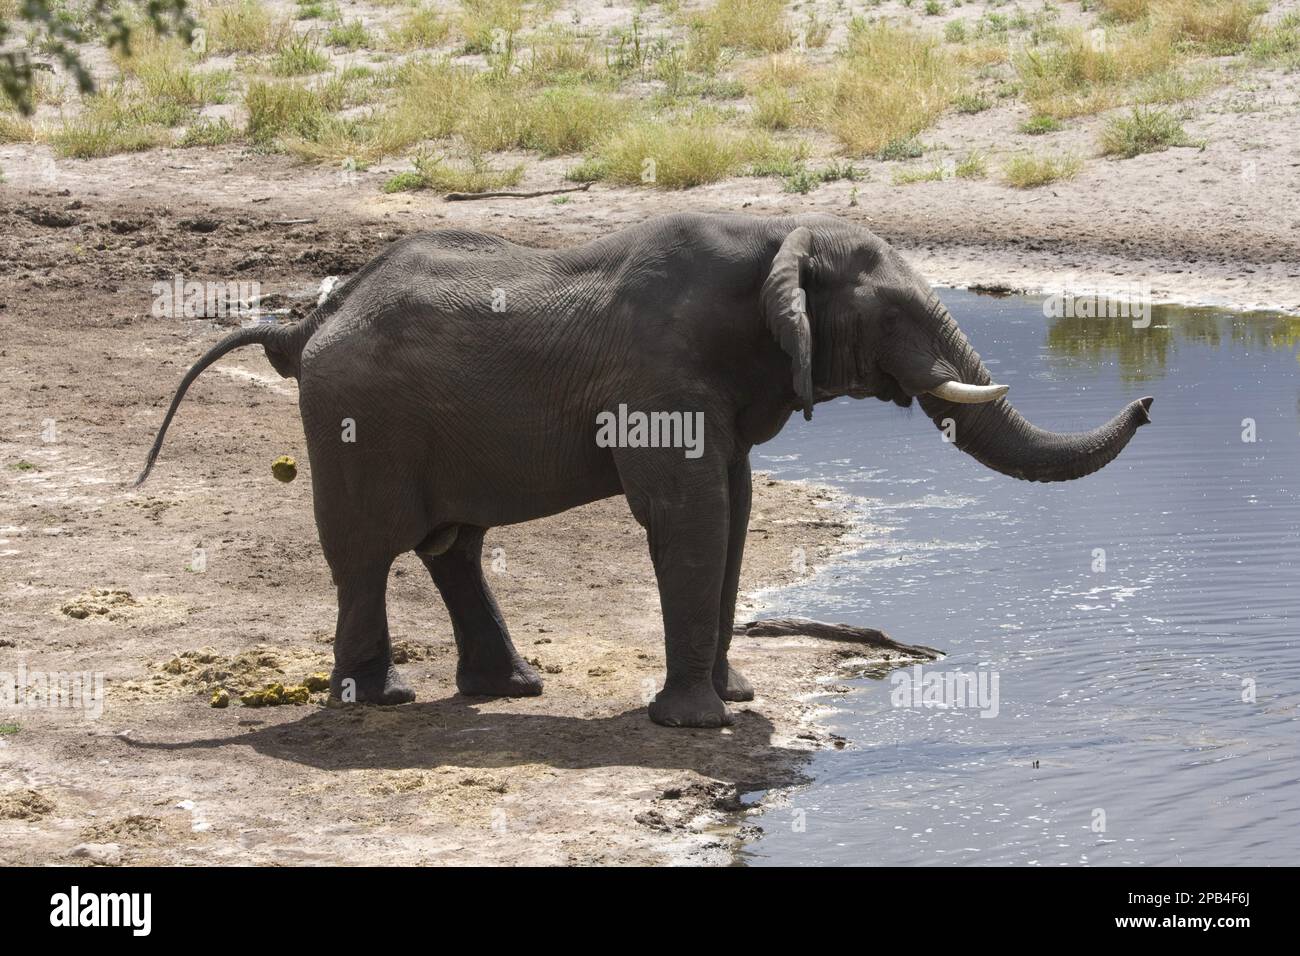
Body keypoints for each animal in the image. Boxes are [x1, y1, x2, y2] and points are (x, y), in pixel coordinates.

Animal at [135, 213, 1153, 728]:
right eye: (895, 314)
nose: (1149, 404)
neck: (774, 240)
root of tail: (306, 322)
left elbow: (735, 506)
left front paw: (732, 703)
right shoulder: (662, 381)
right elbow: (690, 517)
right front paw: (701, 724)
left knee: (452, 547)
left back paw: (509, 692)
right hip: (358, 427)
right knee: (367, 556)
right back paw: (381, 703)